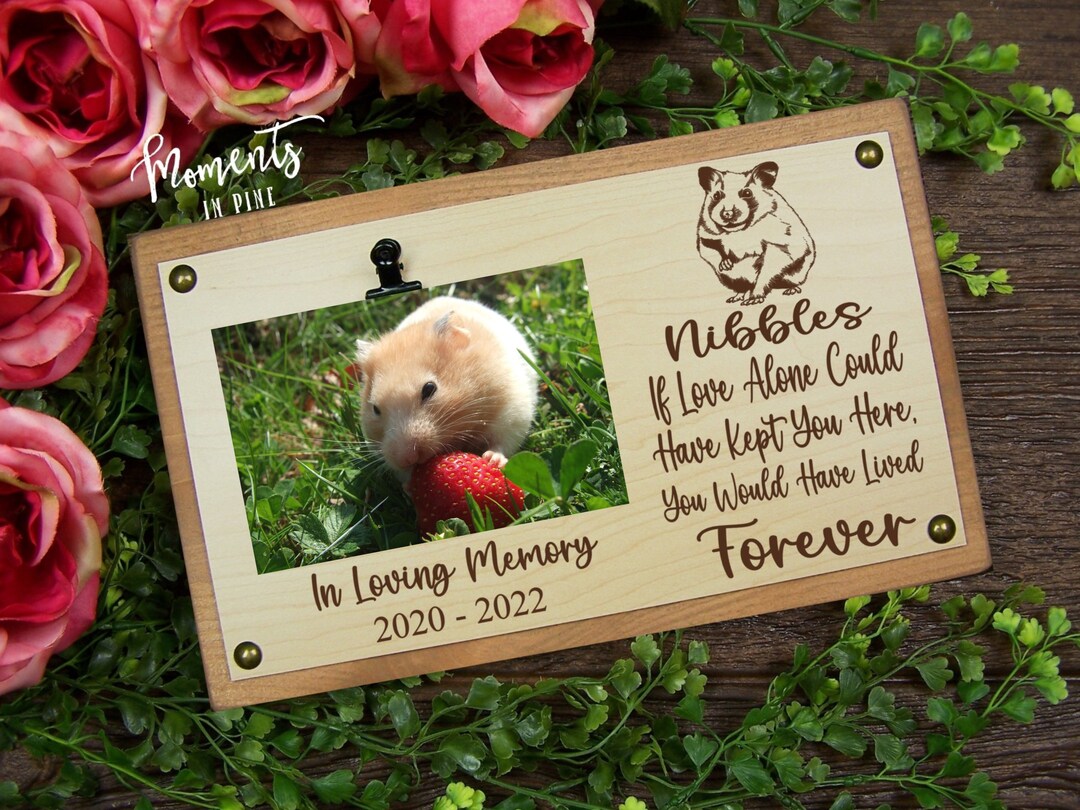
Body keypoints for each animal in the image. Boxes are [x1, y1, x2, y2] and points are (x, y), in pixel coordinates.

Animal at [356, 296, 538, 474]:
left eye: (429, 388)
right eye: (375, 409)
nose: (406, 459)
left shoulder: (512, 412)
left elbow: (502, 442)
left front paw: (492, 459)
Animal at [696, 161, 816, 305]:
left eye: (747, 192)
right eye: (716, 196)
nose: (727, 214)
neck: (738, 232)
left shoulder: (780, 244)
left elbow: (765, 270)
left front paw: (754, 299)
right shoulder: (705, 238)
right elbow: (716, 250)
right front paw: (726, 264)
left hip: (796, 273)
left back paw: (789, 291)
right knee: (742, 287)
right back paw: (734, 298)